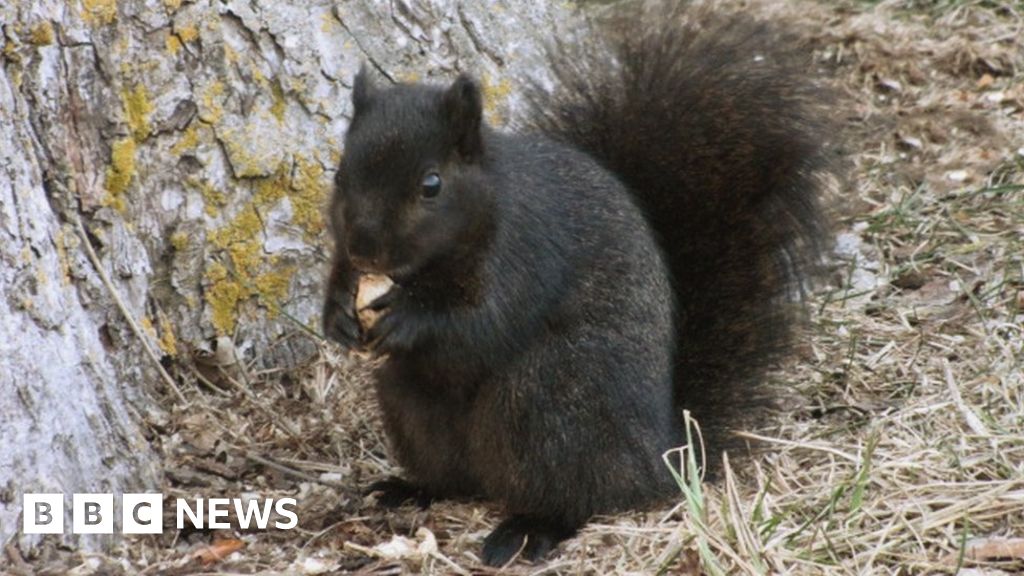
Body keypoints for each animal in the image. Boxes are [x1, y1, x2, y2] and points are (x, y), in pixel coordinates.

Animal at [322, 2, 833, 567]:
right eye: (339, 176)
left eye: (431, 184)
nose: (364, 248)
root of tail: (659, 456)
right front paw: (337, 313)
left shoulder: (524, 253)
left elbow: (481, 321)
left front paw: (408, 317)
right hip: (411, 404)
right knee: (457, 479)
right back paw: (409, 489)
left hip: (546, 404)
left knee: (576, 498)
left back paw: (528, 529)